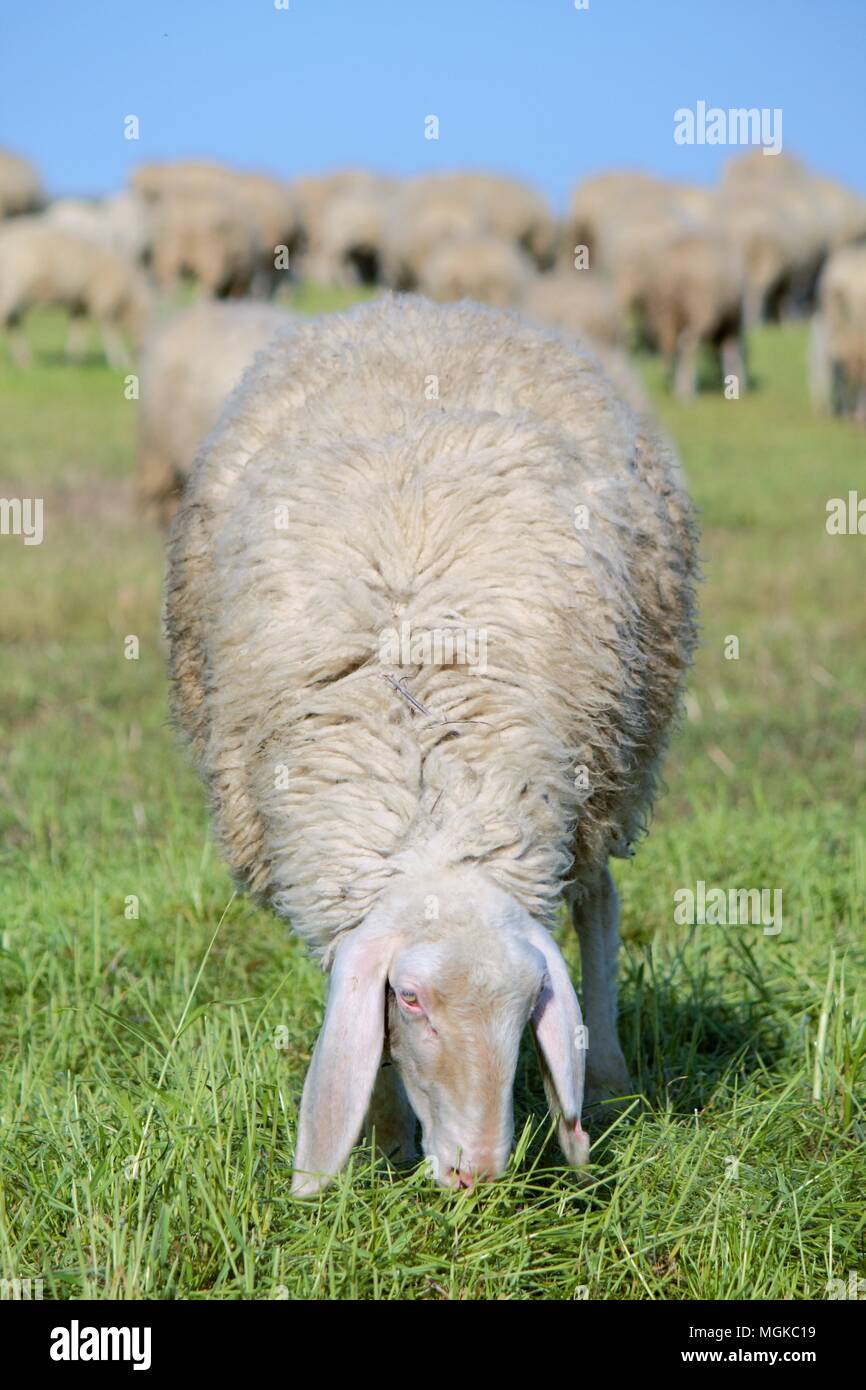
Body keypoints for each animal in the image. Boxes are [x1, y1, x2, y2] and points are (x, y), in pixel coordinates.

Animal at [0, 218, 151, 367]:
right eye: (146, 321)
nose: (142, 349)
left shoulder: (80, 303)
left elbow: (78, 328)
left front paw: (73, 358)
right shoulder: (103, 299)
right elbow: (110, 331)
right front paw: (119, 360)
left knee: (13, 325)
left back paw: (25, 360)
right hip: (10, 289)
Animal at [165, 294, 698, 1195]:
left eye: (527, 1010)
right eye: (409, 1000)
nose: (478, 1172)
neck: (426, 778)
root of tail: (431, 304)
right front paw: (381, 1138)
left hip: (615, 771)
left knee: (598, 901)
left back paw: (608, 1074)